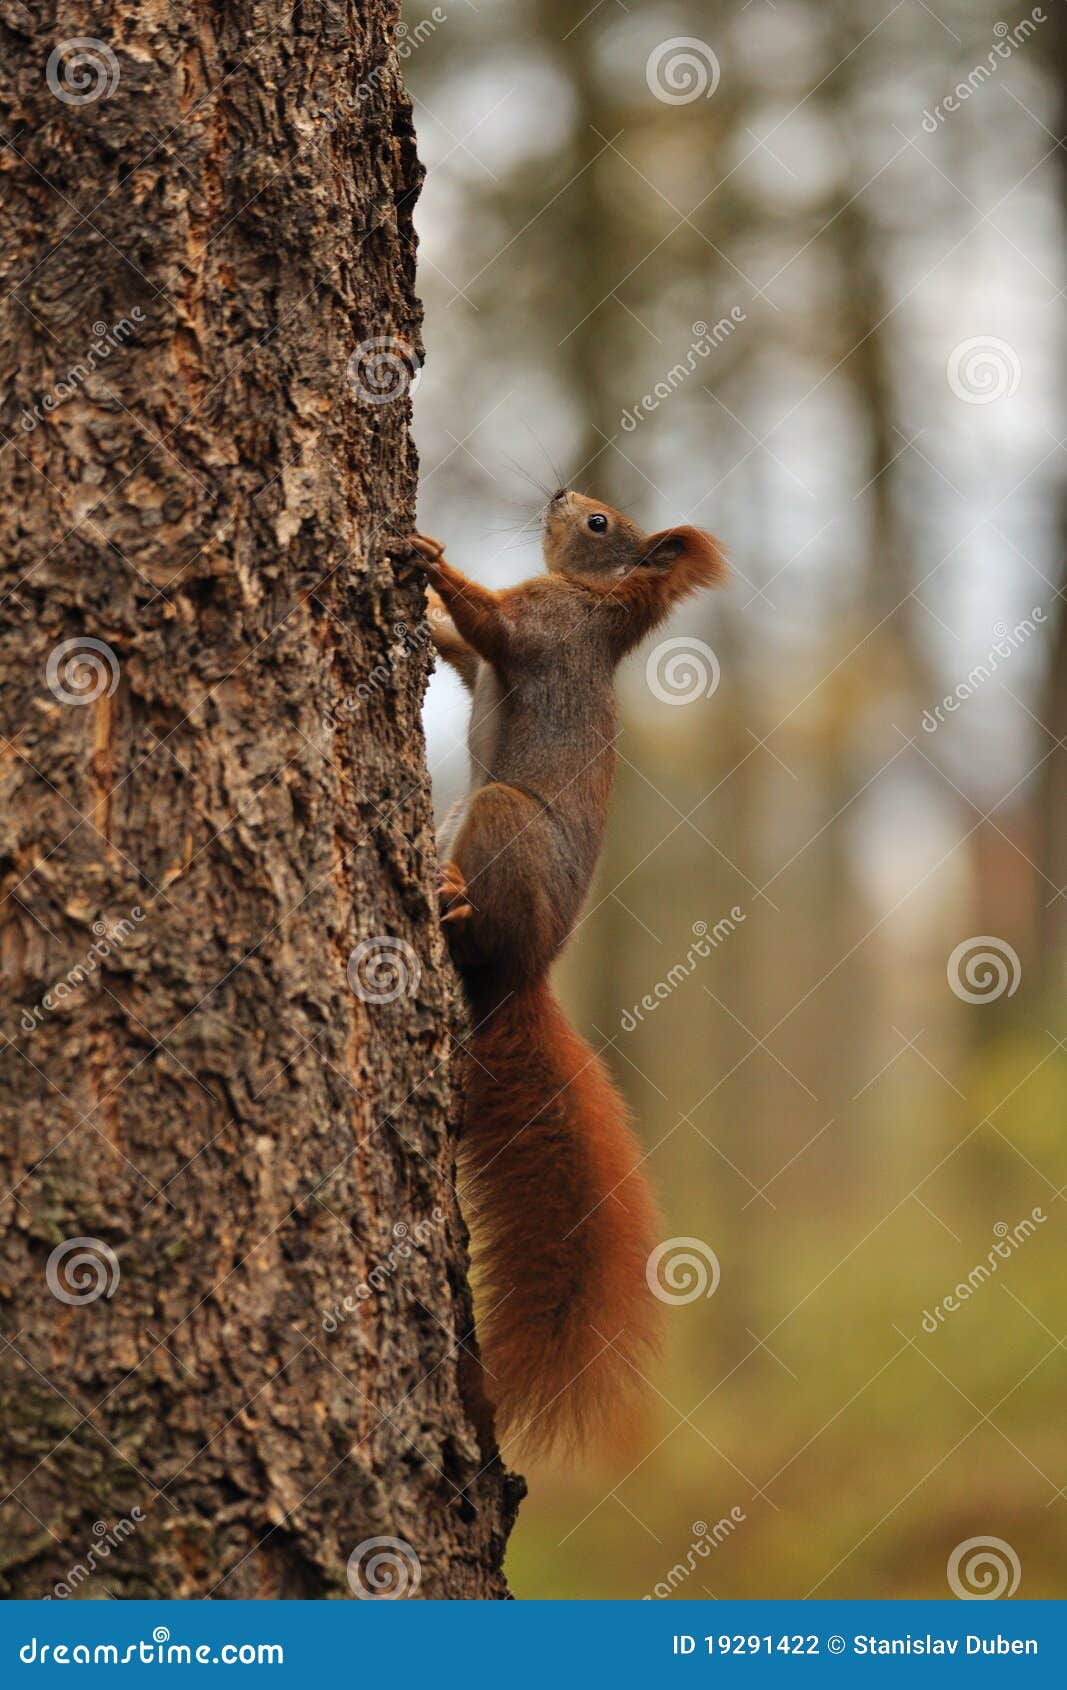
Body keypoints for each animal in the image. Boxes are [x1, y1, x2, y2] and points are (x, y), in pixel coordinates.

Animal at [405, 489, 727, 1457]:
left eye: (598, 525)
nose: (559, 496)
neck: (597, 604)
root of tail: (526, 978)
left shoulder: (541, 627)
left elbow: (491, 624)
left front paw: (430, 560)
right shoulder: (505, 650)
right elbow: (466, 652)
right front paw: (423, 607)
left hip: (498, 817)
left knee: (479, 931)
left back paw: (452, 907)